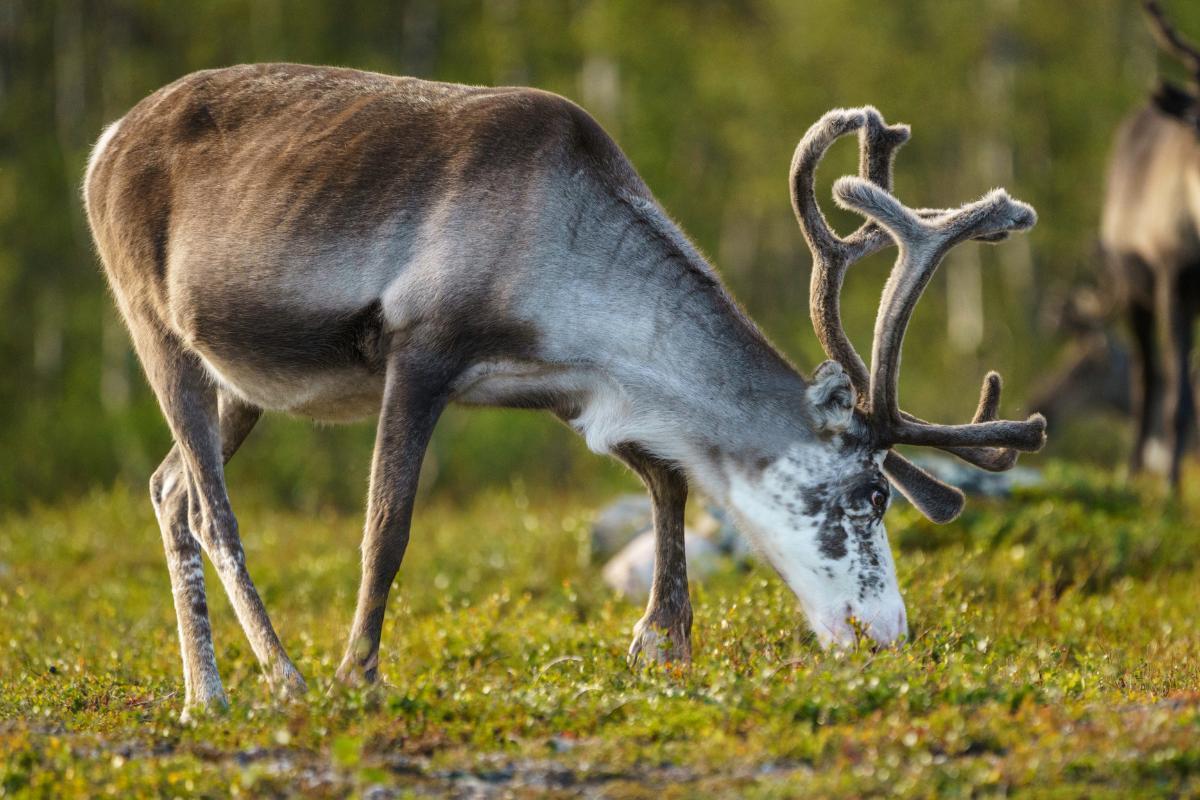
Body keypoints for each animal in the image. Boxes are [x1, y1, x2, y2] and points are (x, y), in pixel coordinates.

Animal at [83, 63, 1044, 718]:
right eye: (869, 494)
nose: (887, 635)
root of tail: (104, 142)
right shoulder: (420, 355)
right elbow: (386, 530)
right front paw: (360, 675)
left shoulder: (569, 388)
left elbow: (671, 477)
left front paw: (662, 640)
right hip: (157, 327)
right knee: (214, 510)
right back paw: (279, 677)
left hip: (238, 380)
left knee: (168, 487)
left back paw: (204, 693)